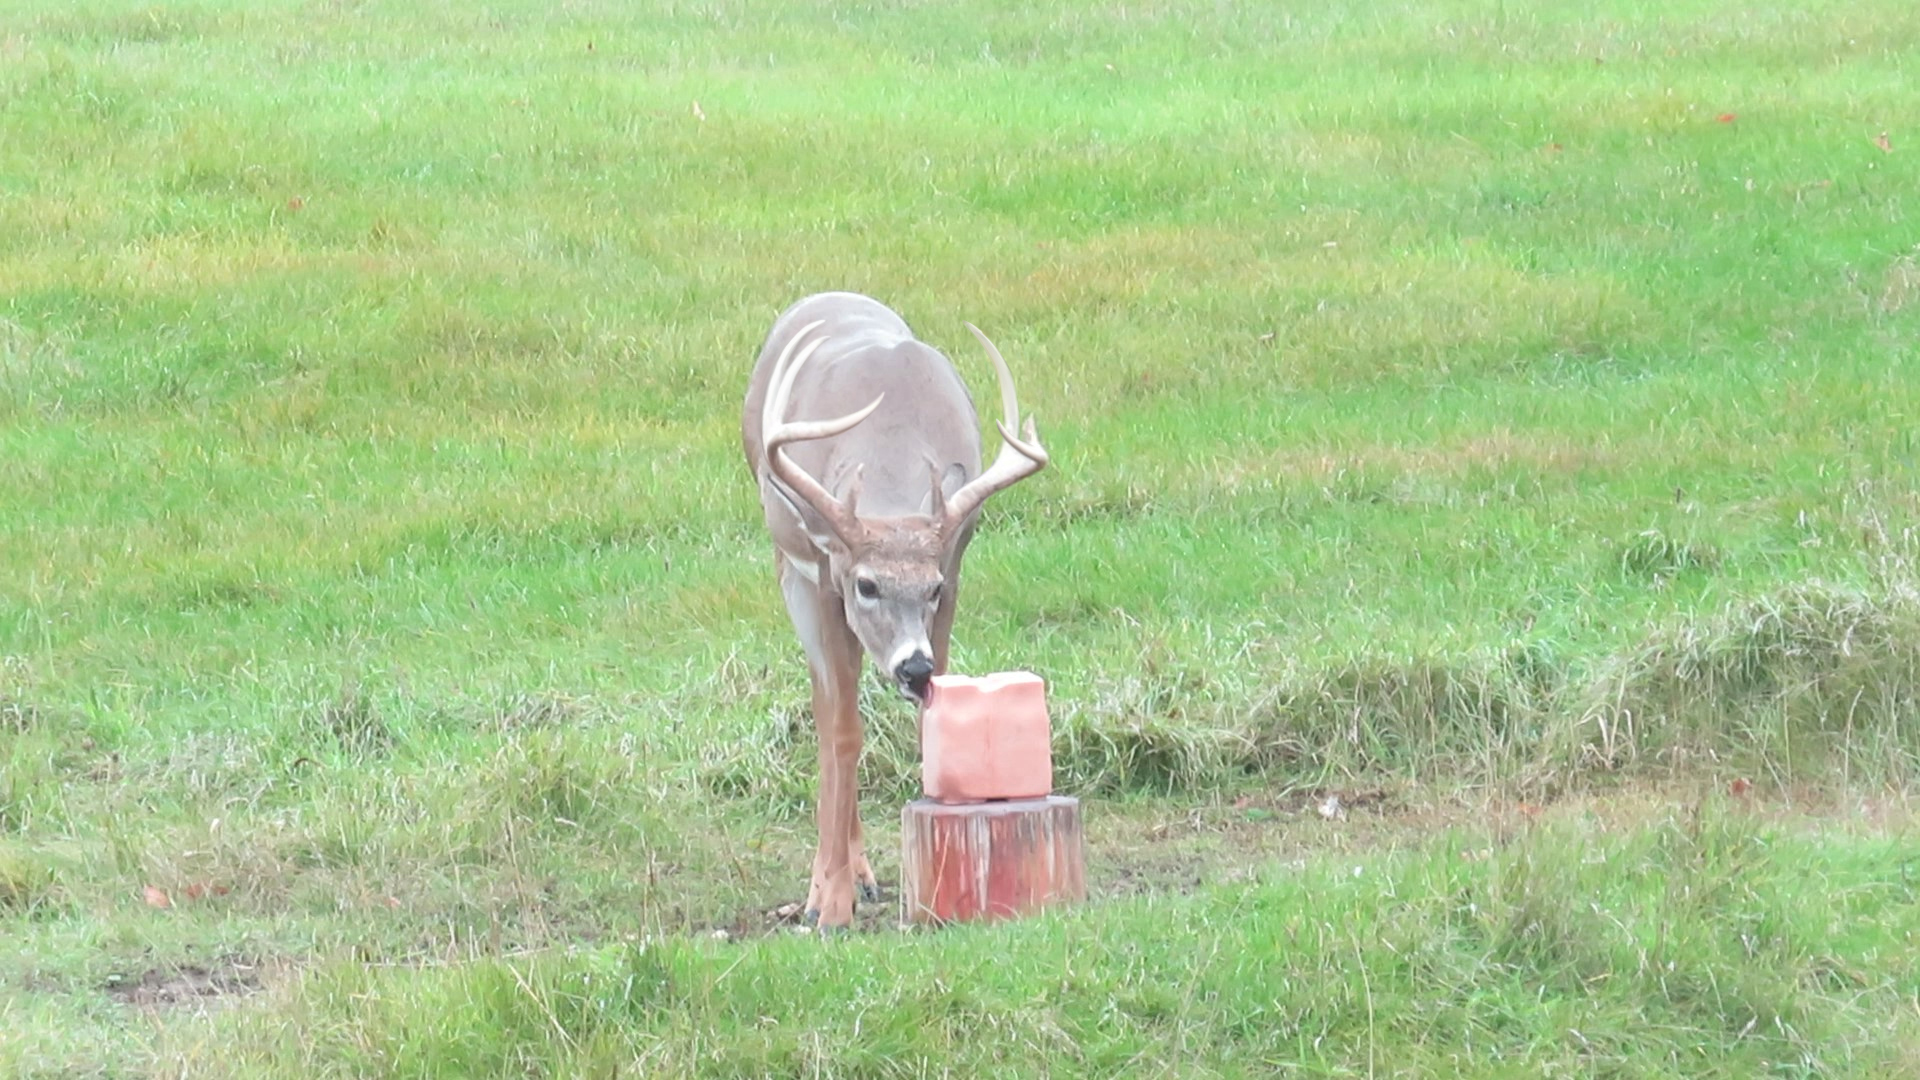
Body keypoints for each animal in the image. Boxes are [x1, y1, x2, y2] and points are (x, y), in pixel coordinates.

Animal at [741, 291, 1048, 931]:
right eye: (867, 584)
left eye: (931, 587)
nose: (914, 667)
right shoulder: (825, 579)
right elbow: (842, 730)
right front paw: (829, 904)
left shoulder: (957, 564)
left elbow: (931, 721)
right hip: (789, 568)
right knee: (827, 707)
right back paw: (834, 880)